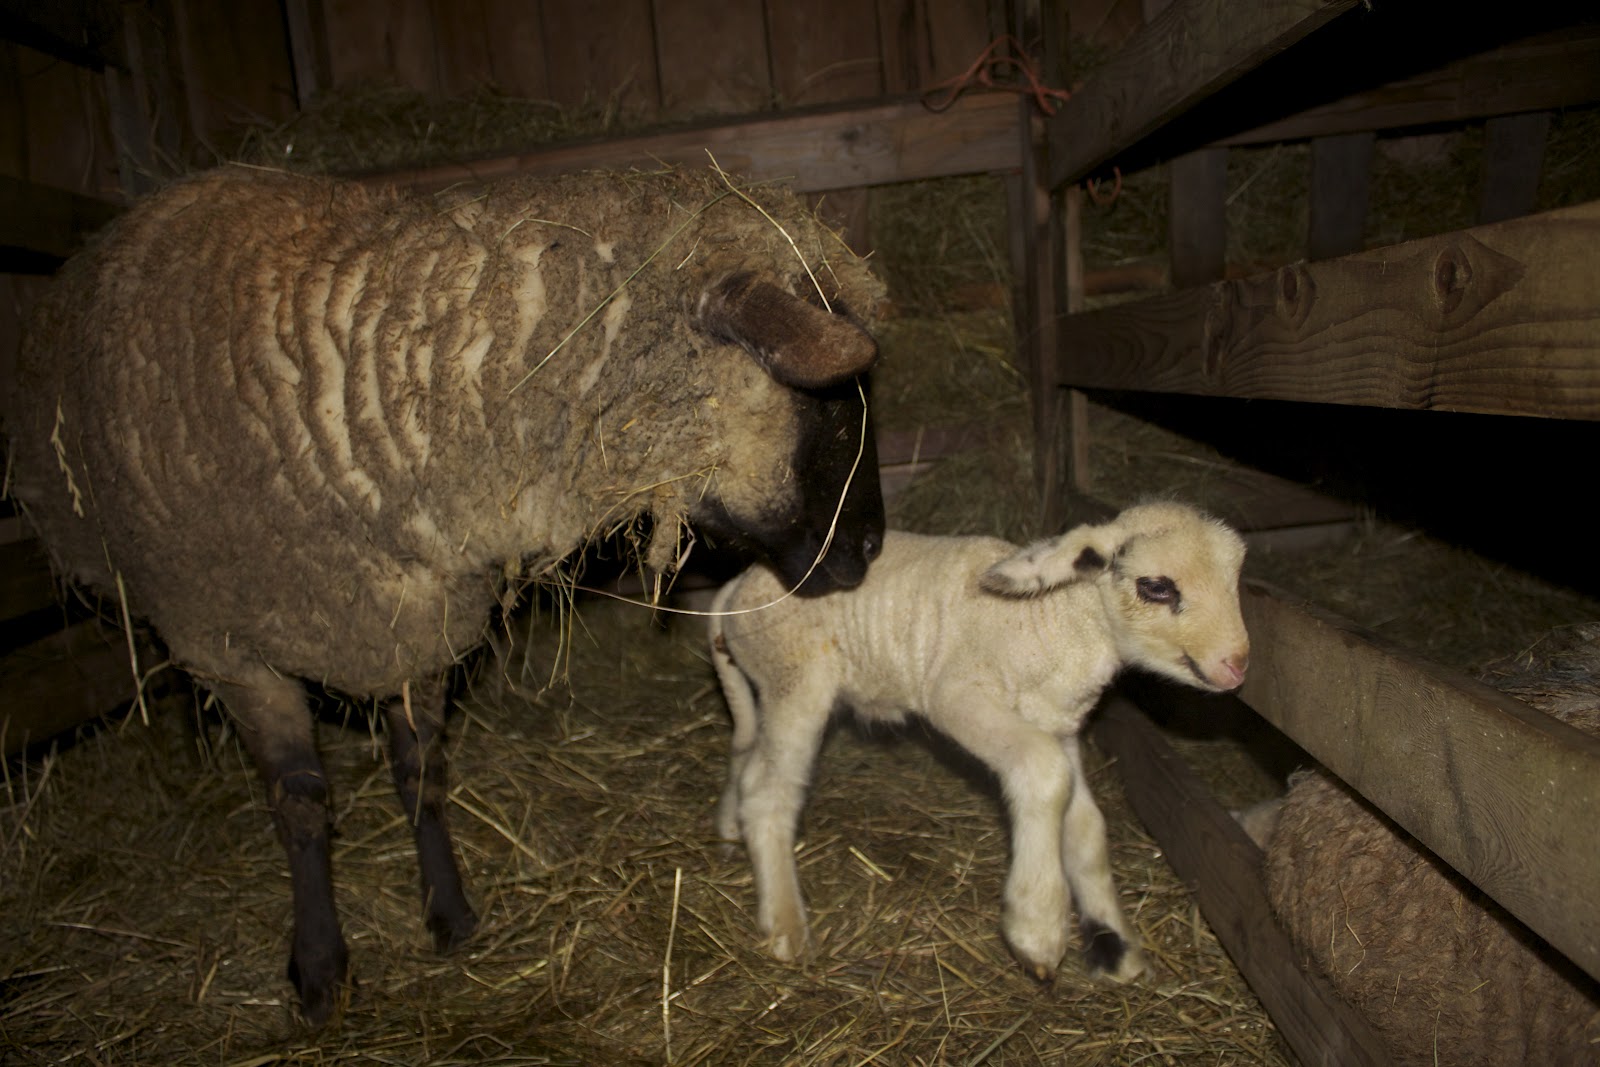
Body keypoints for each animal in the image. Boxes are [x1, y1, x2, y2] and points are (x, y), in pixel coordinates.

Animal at [1, 163, 887, 1023]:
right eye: (825, 398)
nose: (873, 546)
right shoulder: (237, 643)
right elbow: (300, 801)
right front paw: (320, 970)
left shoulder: (414, 625)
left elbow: (422, 773)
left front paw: (451, 914)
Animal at [708, 502, 1250, 982]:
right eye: (1156, 587)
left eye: (1235, 580)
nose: (1238, 665)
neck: (1050, 624)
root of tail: (739, 587)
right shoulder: (957, 694)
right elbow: (1042, 770)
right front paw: (1038, 926)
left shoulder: (1059, 725)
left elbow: (1085, 830)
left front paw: (1115, 947)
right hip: (796, 679)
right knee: (768, 792)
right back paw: (786, 927)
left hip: (766, 686)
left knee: (745, 752)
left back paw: (732, 830)